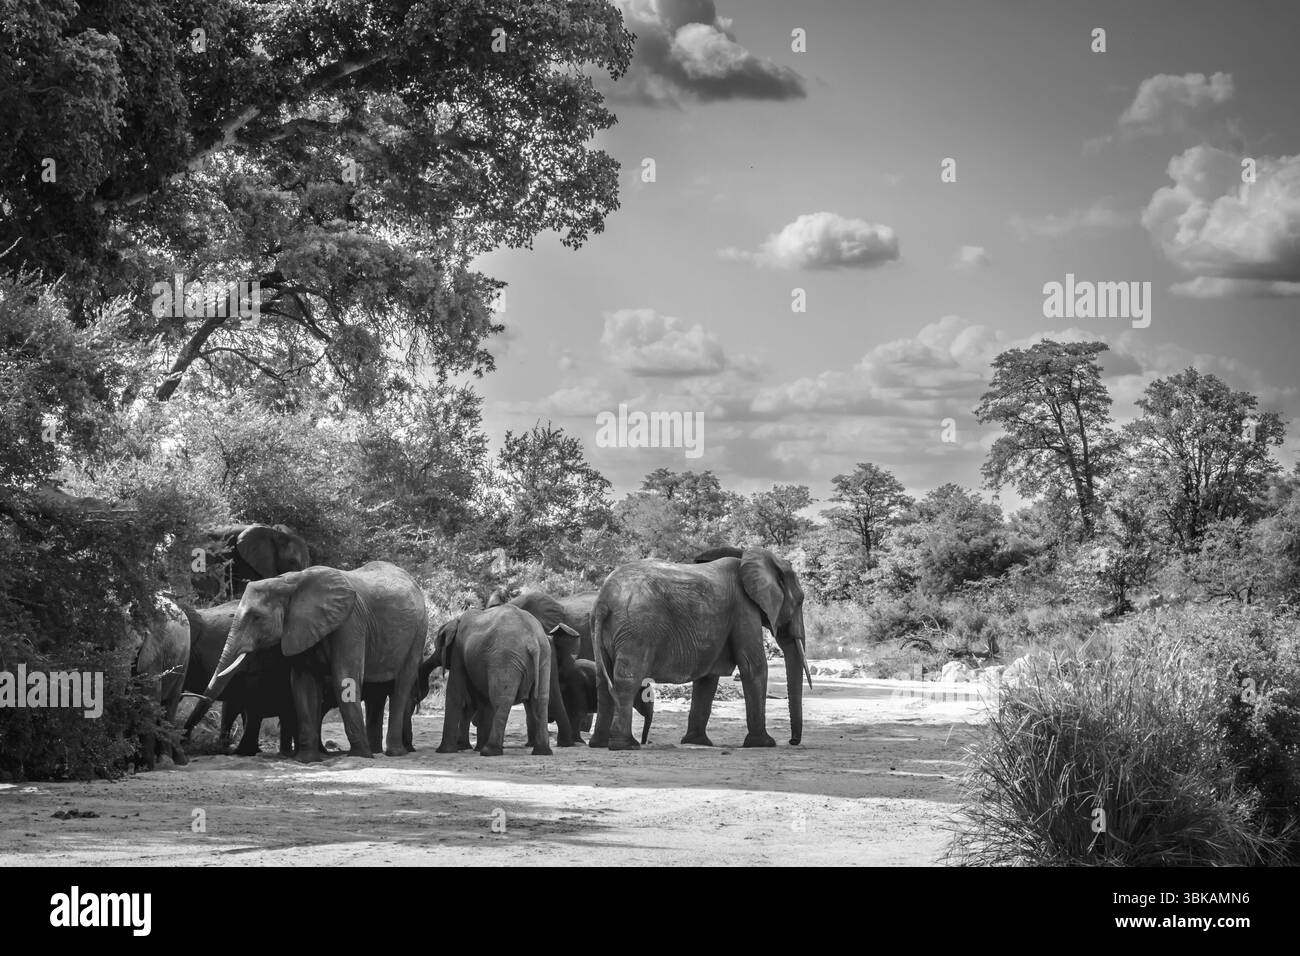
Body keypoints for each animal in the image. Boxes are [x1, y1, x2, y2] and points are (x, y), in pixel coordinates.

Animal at [131, 596, 192, 770]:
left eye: (137, 649)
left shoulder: (154, 650)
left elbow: (150, 697)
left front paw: (145, 767)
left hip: (185, 660)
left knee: (170, 704)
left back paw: (167, 761)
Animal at [195, 561, 427, 762]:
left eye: (256, 618)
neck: (289, 583)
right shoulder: (299, 628)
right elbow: (302, 684)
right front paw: (307, 760)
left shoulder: (350, 622)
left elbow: (345, 678)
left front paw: (360, 756)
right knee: (378, 693)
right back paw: (379, 751)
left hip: (419, 632)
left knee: (402, 684)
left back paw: (394, 753)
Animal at [433, 604, 554, 757]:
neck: (456, 620)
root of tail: (533, 642)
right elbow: (482, 699)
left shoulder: (458, 651)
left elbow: (455, 692)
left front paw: (444, 751)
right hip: (544, 656)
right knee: (541, 701)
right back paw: (542, 751)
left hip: (505, 658)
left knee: (501, 699)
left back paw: (489, 751)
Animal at [589, 547, 813, 751]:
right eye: (800, 601)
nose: (793, 741)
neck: (750, 557)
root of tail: (604, 600)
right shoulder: (743, 607)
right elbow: (753, 666)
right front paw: (764, 744)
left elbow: (708, 678)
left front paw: (697, 742)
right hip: (638, 628)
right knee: (627, 680)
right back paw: (625, 745)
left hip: (607, 629)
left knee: (603, 680)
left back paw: (600, 744)